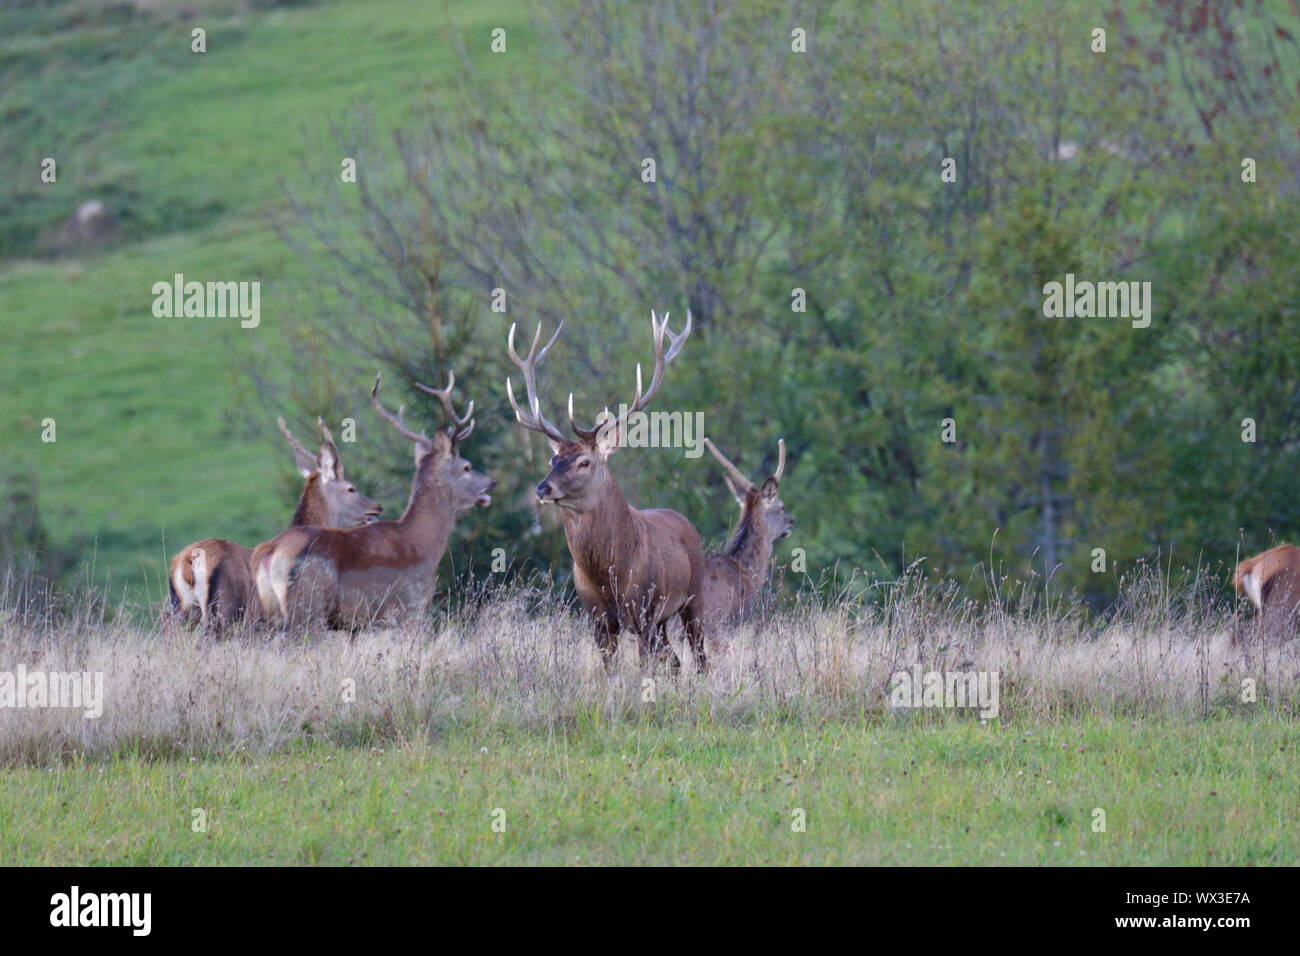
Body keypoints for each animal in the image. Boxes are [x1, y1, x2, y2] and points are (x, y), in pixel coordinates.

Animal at [252, 371, 494, 632]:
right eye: (467, 466)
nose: (492, 481)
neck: (423, 543)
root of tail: (269, 552)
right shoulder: (412, 606)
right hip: (306, 608)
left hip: (271, 614)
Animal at [506, 310, 707, 671]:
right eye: (553, 458)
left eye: (584, 462)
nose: (542, 488)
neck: (607, 573)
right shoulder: (598, 618)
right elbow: (609, 671)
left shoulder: (642, 611)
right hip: (662, 621)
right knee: (674, 661)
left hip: (692, 599)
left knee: (699, 656)